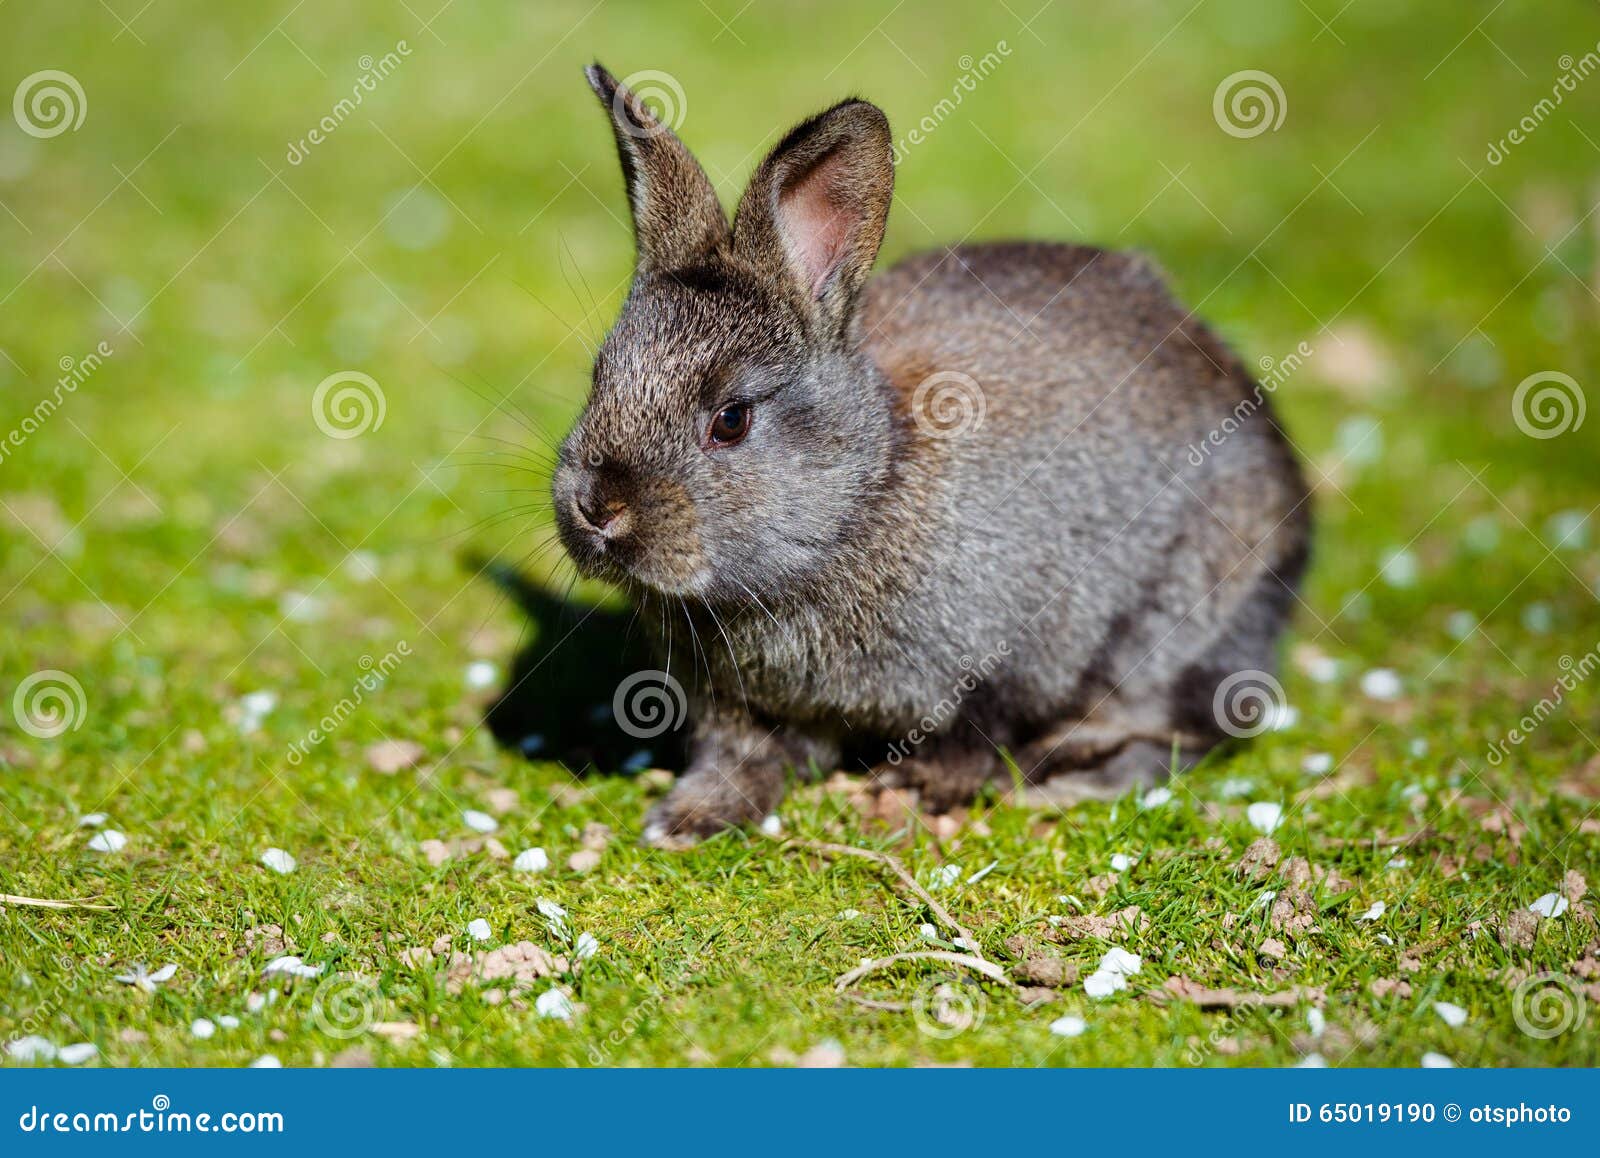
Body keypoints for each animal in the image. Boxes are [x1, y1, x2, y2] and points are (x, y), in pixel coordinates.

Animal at [551, 64, 1311, 847]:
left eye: (731, 420)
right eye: (599, 378)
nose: (598, 509)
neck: (860, 499)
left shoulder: (1010, 653)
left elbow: (973, 734)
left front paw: (915, 789)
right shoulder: (739, 708)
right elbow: (741, 757)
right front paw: (690, 819)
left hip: (1189, 610)